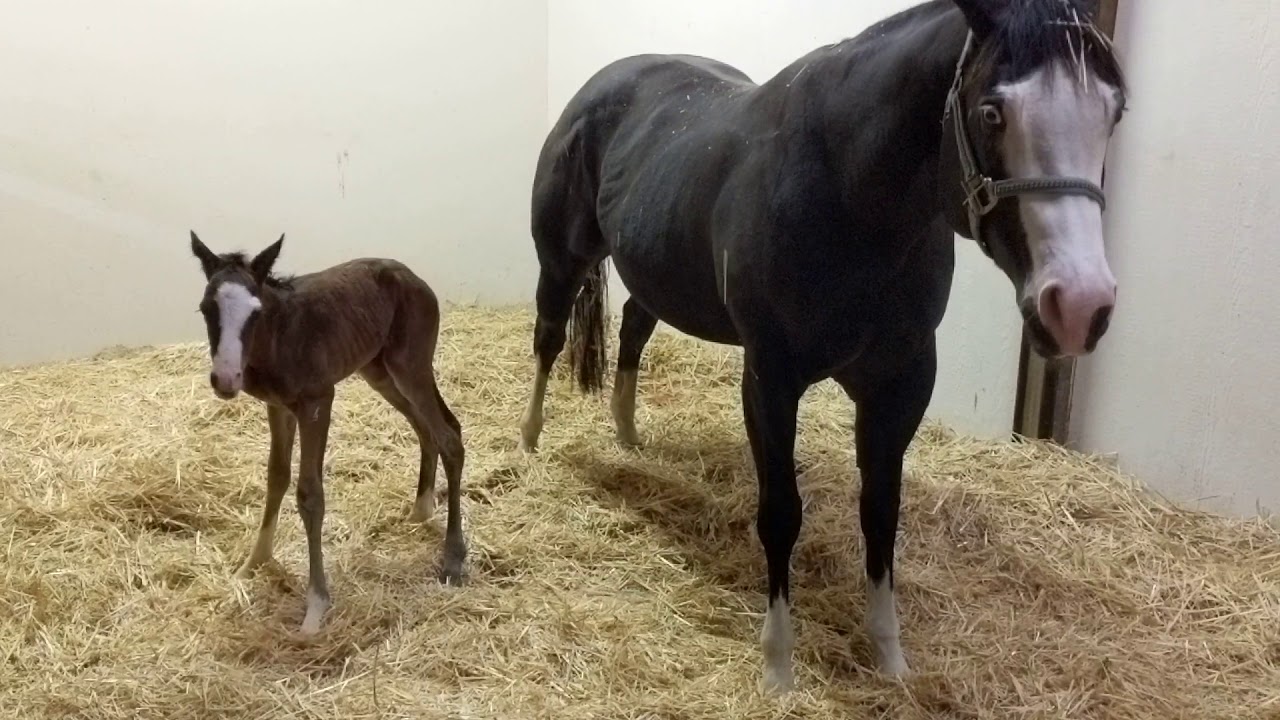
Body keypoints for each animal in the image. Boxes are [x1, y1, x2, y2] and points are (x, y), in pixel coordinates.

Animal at [188, 232, 468, 635]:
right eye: (206, 309)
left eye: (255, 312)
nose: (225, 379)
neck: (278, 337)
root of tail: (415, 279)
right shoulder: (279, 407)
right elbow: (276, 477)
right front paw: (253, 563)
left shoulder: (317, 402)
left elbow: (310, 494)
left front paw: (316, 606)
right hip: (379, 371)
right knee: (426, 429)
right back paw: (420, 510)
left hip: (410, 365)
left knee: (449, 436)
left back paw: (454, 558)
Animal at [518, 0, 1126, 692]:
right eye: (992, 111)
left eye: (1114, 111)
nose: (1079, 305)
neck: (847, 198)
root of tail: (597, 87)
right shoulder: (771, 379)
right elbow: (781, 514)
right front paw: (778, 666)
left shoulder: (901, 382)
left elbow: (882, 514)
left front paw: (890, 657)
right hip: (562, 260)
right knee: (548, 337)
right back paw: (530, 440)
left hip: (652, 268)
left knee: (633, 330)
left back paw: (626, 432)